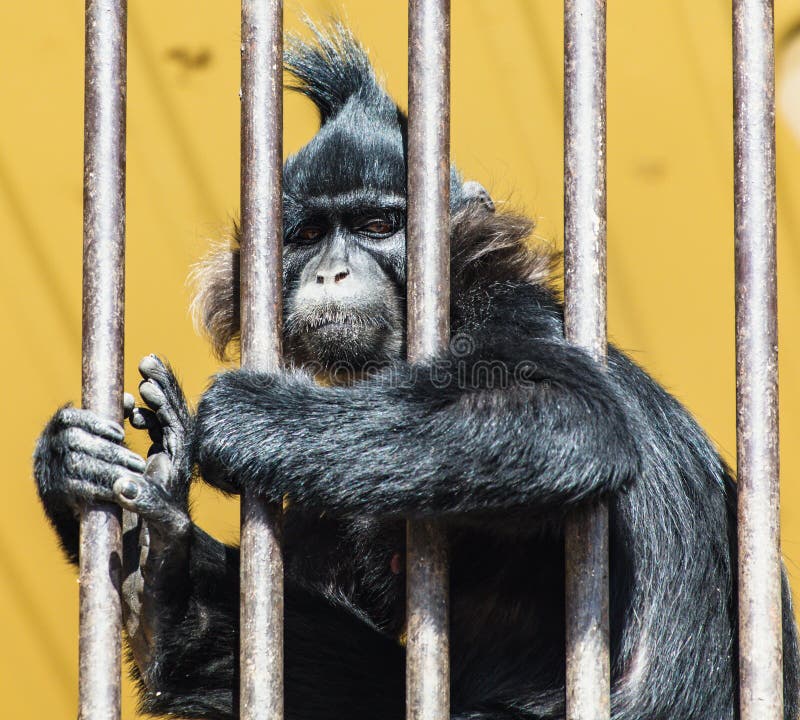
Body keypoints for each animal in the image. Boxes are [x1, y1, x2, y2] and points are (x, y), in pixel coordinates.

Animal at [33, 23, 800, 720]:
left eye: (378, 226)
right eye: (308, 235)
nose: (331, 270)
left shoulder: (505, 313)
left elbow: (573, 416)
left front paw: (249, 417)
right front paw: (72, 464)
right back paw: (161, 590)